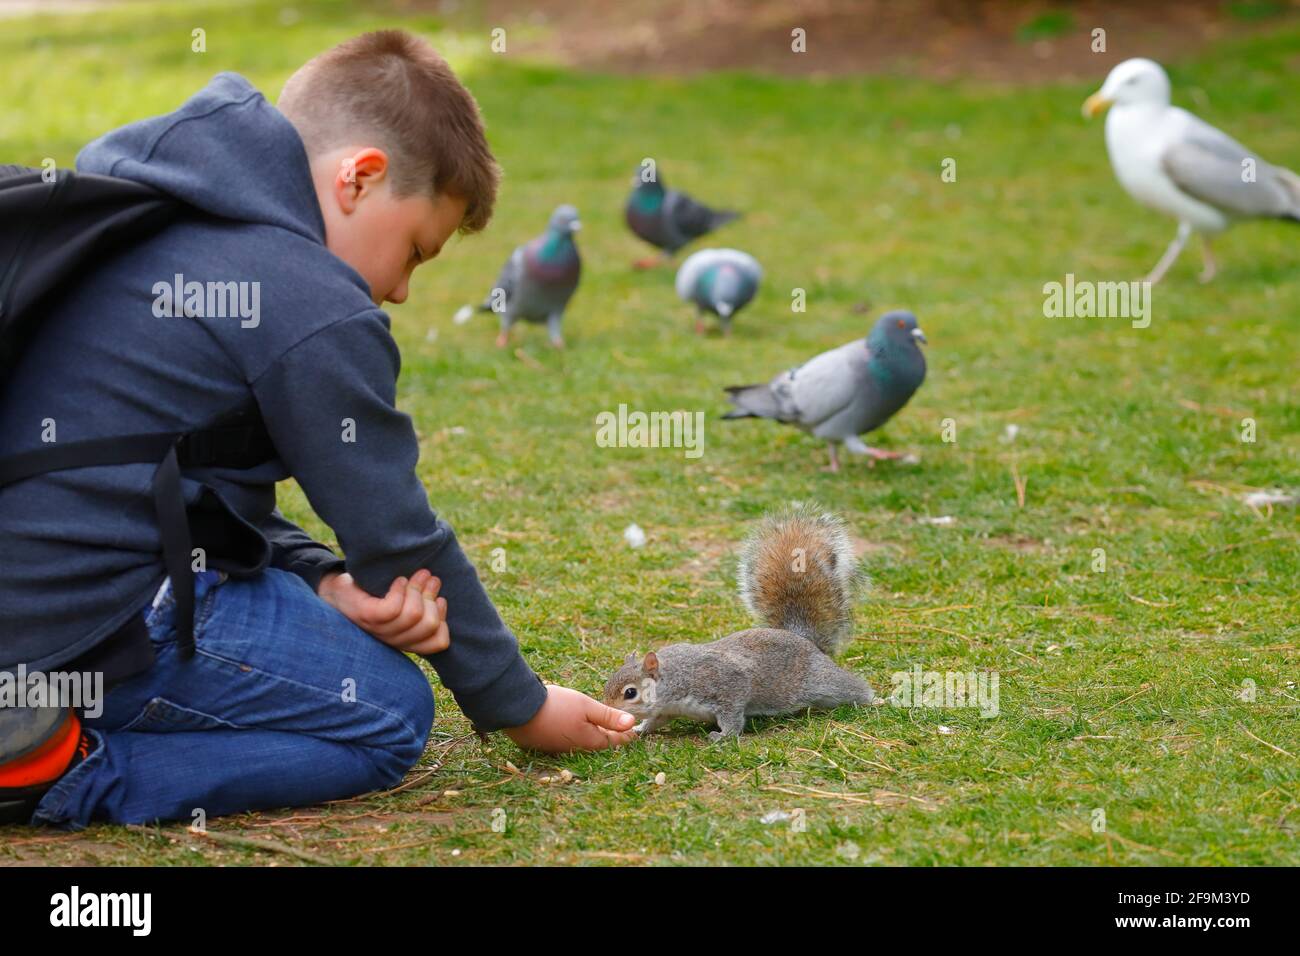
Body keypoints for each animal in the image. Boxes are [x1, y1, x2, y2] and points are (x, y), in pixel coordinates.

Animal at [602, 503, 875, 741]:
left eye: (630, 693)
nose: (608, 708)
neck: (675, 677)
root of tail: (804, 639)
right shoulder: (666, 710)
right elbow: (655, 721)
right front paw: (639, 728)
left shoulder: (726, 685)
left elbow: (732, 714)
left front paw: (723, 736)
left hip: (821, 680)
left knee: (849, 688)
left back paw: (876, 699)